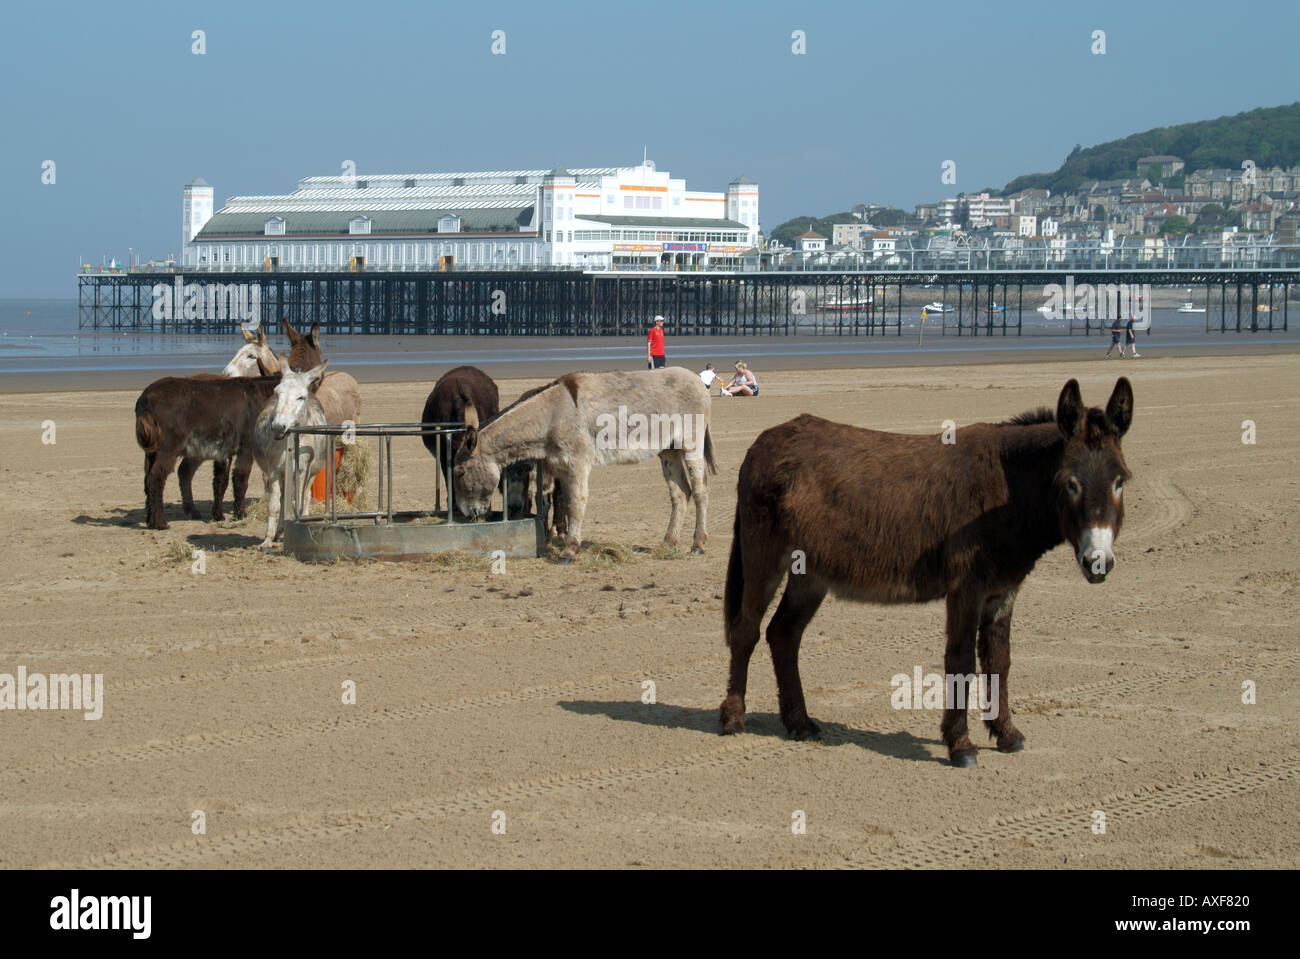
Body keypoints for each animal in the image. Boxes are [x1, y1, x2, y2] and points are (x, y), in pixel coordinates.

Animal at [134, 374, 282, 530]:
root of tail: (144, 398)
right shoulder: (246, 448)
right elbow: (240, 480)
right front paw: (240, 515)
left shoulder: (224, 452)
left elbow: (220, 482)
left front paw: (218, 516)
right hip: (168, 449)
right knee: (155, 479)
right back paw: (160, 523)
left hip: (152, 452)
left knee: (149, 479)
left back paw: (152, 520)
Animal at [253, 359, 330, 549]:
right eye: (277, 393)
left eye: (300, 397)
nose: (277, 427)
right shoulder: (274, 471)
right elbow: (274, 505)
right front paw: (267, 540)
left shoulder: (302, 471)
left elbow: (299, 501)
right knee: (283, 500)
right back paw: (278, 532)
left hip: (311, 474)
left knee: (306, 496)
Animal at [453, 368, 716, 562]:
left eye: (460, 472)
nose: (466, 513)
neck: (550, 416)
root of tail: (696, 379)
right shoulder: (557, 467)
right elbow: (553, 501)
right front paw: (554, 540)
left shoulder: (578, 463)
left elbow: (575, 503)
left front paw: (569, 550)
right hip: (669, 451)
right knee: (680, 493)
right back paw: (668, 542)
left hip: (691, 445)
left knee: (701, 491)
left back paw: (698, 543)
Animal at [718, 377, 1134, 768]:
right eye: (1070, 483)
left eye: (1120, 482)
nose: (1098, 562)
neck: (1008, 490)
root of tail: (764, 441)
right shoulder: (966, 588)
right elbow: (961, 660)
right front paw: (960, 745)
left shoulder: (1003, 590)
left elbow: (999, 661)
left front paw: (1007, 734)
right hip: (764, 555)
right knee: (746, 630)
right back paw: (733, 719)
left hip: (810, 573)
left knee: (783, 634)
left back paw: (800, 723)